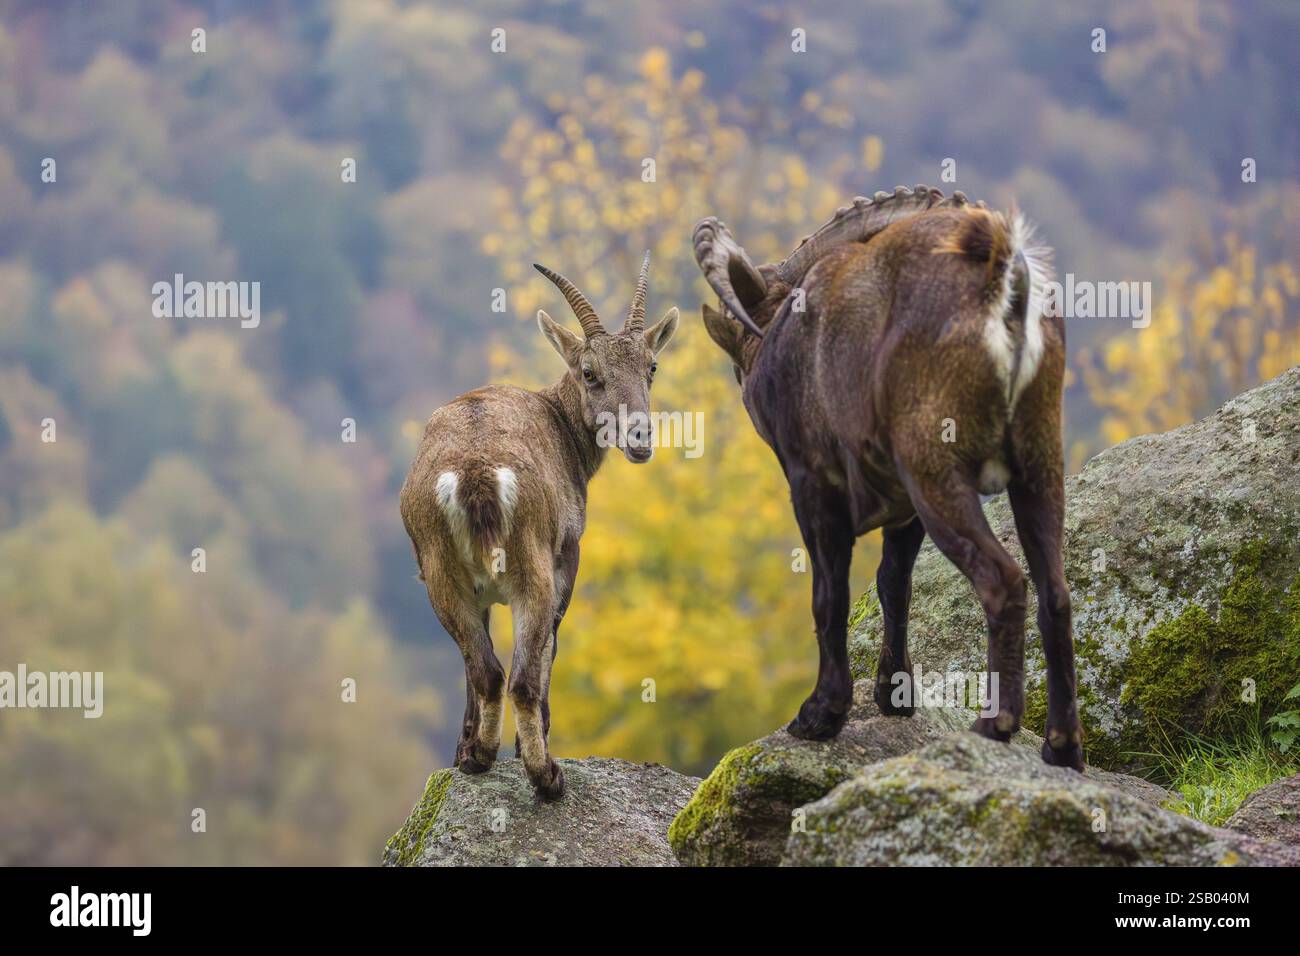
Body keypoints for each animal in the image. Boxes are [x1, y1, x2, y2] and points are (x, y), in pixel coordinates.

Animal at [400, 253, 679, 798]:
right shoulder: (567, 558)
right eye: (589, 373)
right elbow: (551, 647)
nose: (639, 437)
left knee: (486, 670)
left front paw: (462, 749)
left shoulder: (476, 592)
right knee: (522, 678)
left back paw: (478, 758)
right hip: (532, 567)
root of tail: (477, 473)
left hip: (441, 574)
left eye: (651, 366)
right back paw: (546, 775)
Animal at [692, 185, 1084, 770]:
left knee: (1003, 580)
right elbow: (892, 585)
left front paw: (820, 714)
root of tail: (1002, 284)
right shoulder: (903, 510)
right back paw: (1062, 748)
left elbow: (828, 594)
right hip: (1038, 459)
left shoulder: (813, 483)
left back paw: (993, 725)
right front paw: (893, 695)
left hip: (934, 466)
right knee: (1055, 591)